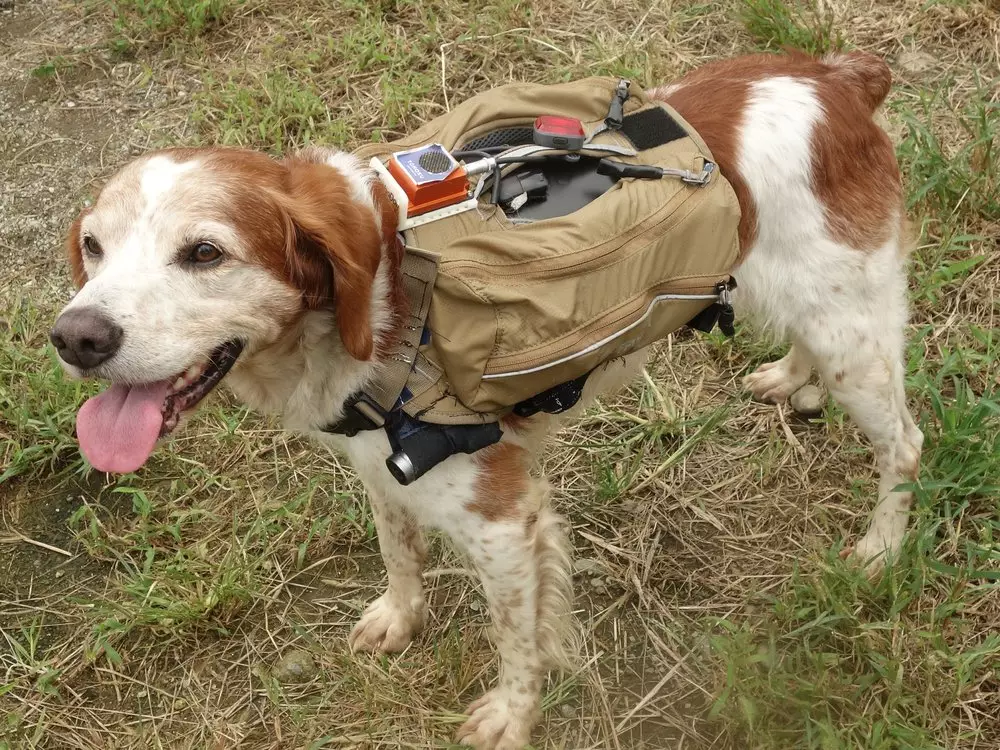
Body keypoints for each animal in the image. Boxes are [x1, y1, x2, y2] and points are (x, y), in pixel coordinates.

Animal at [48, 50, 920, 748]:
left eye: (204, 253)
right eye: (93, 246)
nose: (74, 337)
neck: (384, 299)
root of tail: (839, 78)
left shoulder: (504, 521)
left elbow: (517, 636)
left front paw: (511, 715)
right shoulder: (379, 468)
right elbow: (399, 551)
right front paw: (400, 618)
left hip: (855, 338)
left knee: (904, 446)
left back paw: (880, 552)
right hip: (824, 314)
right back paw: (790, 379)